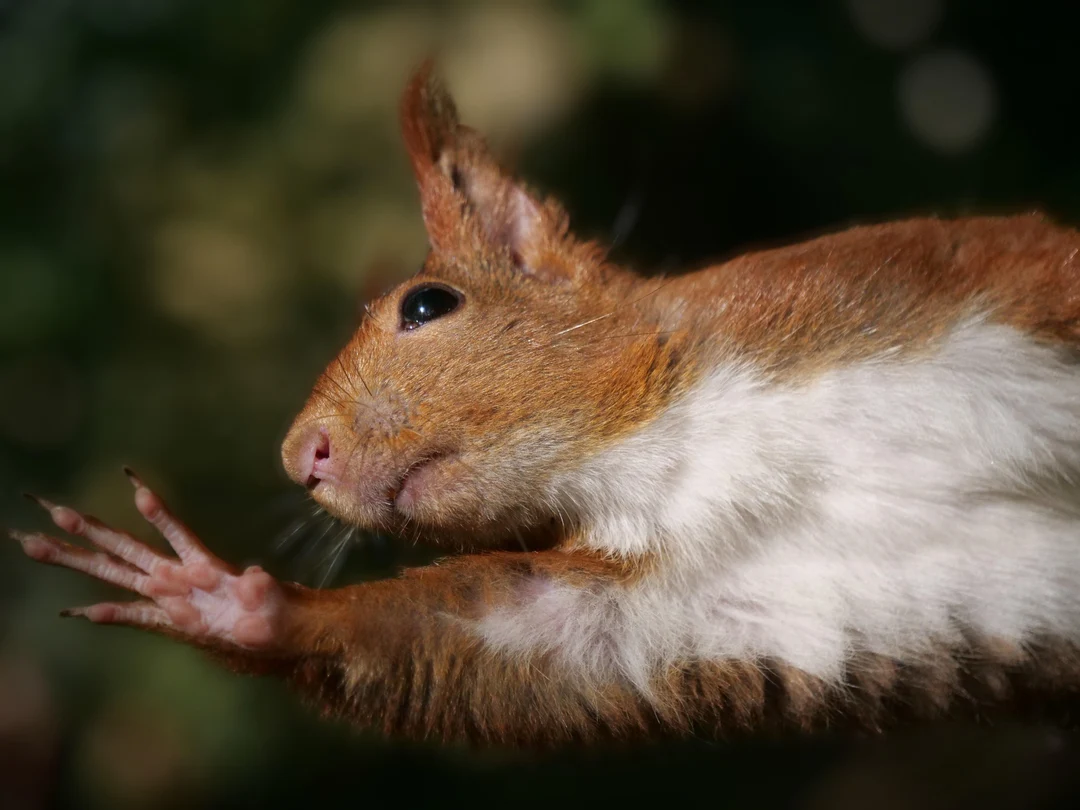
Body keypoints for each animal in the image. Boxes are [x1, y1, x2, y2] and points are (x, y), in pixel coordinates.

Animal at [12, 61, 1080, 746]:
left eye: (427, 304)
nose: (300, 458)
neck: (678, 445)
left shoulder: (895, 292)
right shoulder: (718, 598)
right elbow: (529, 644)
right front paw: (224, 601)